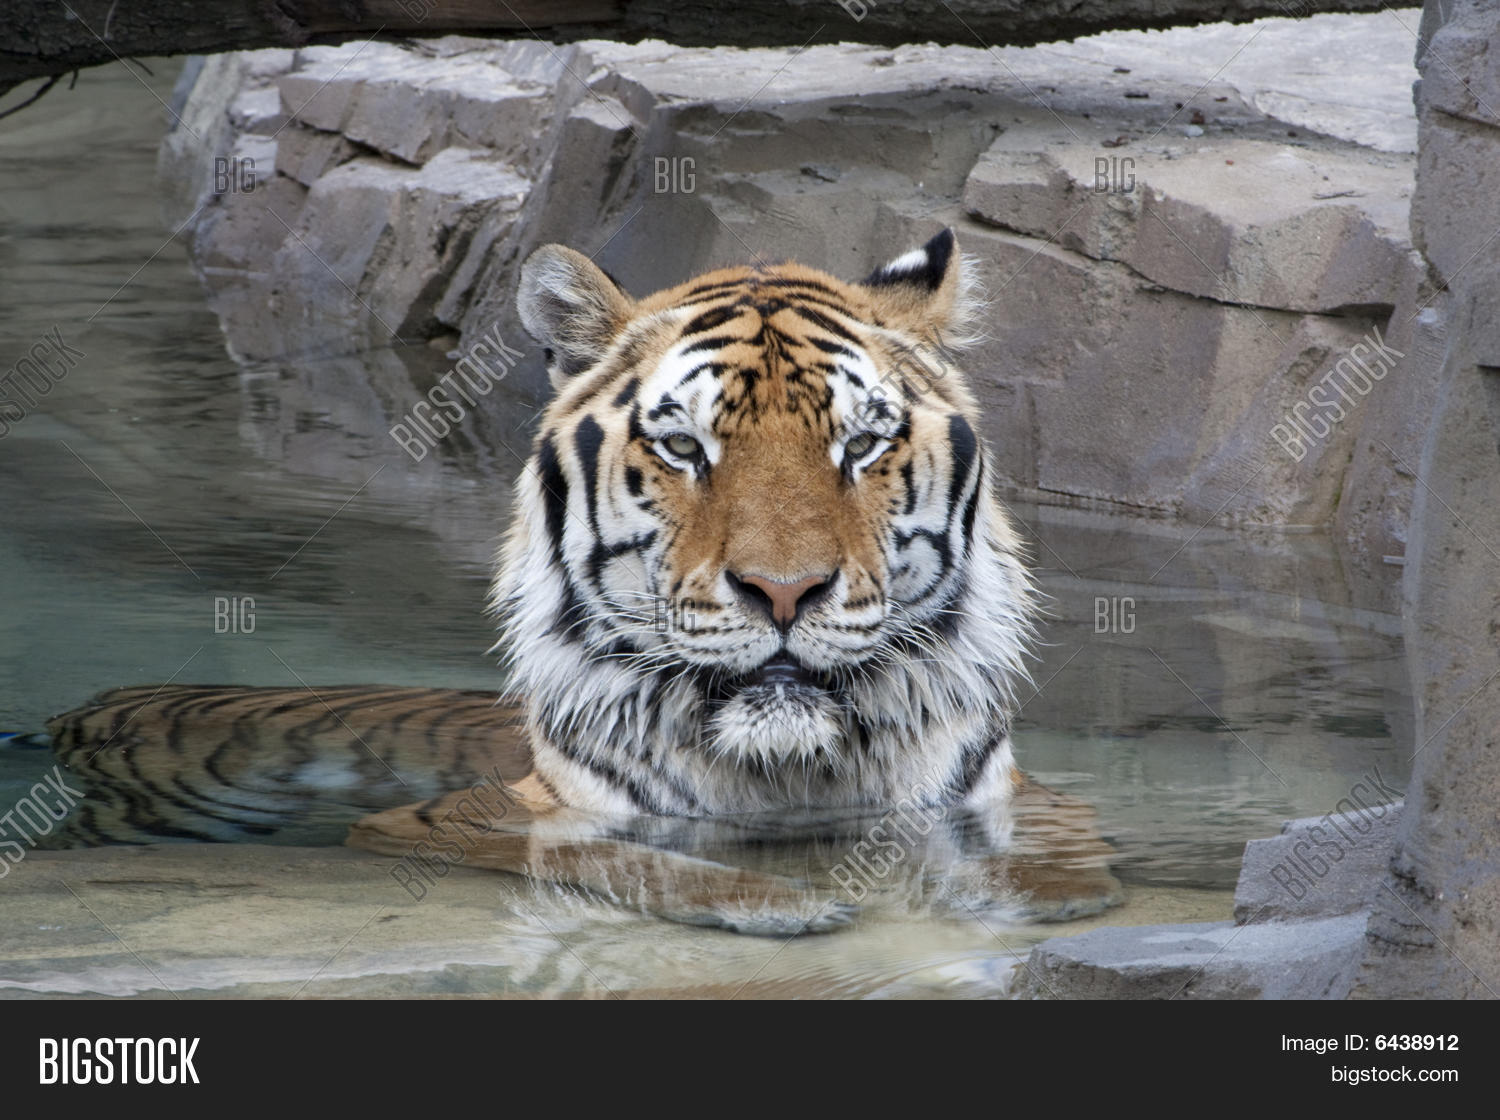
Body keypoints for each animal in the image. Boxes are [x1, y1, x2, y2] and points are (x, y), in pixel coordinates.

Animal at [39, 230, 1121, 935]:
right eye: (684, 447)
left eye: (861, 444)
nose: (784, 592)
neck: (788, 770)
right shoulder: (471, 819)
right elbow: (619, 856)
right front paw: (779, 902)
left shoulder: (1003, 789)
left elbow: (1064, 836)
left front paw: (1056, 887)